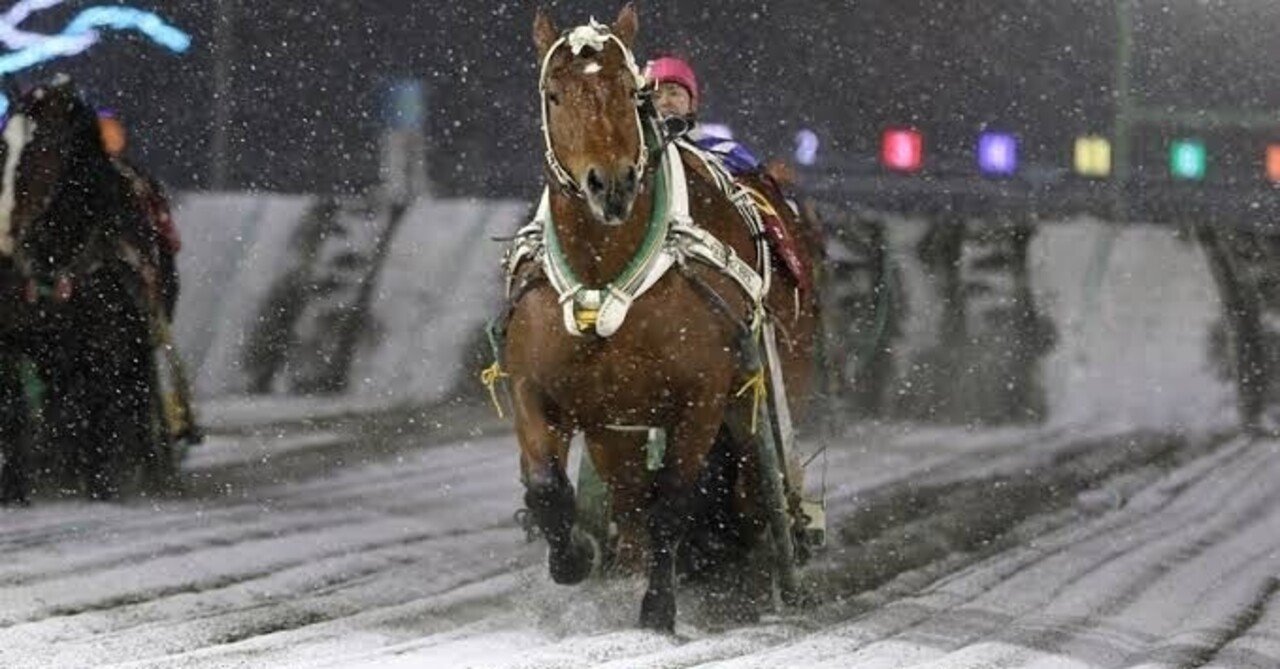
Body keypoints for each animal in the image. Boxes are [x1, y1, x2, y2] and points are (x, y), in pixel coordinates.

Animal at [0, 76, 175, 501]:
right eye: (2, 147)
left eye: (40, 148)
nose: (3, 231)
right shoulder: (14, 339)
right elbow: (14, 411)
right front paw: (16, 492)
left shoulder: (104, 344)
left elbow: (98, 418)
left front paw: (99, 488)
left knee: (130, 398)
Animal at [498, 5, 822, 630]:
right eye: (554, 94)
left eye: (631, 91)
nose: (610, 184)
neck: (602, 277)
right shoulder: (537, 385)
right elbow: (547, 488)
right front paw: (573, 555)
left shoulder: (701, 395)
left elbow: (672, 500)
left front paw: (658, 607)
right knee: (629, 492)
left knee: (751, 488)